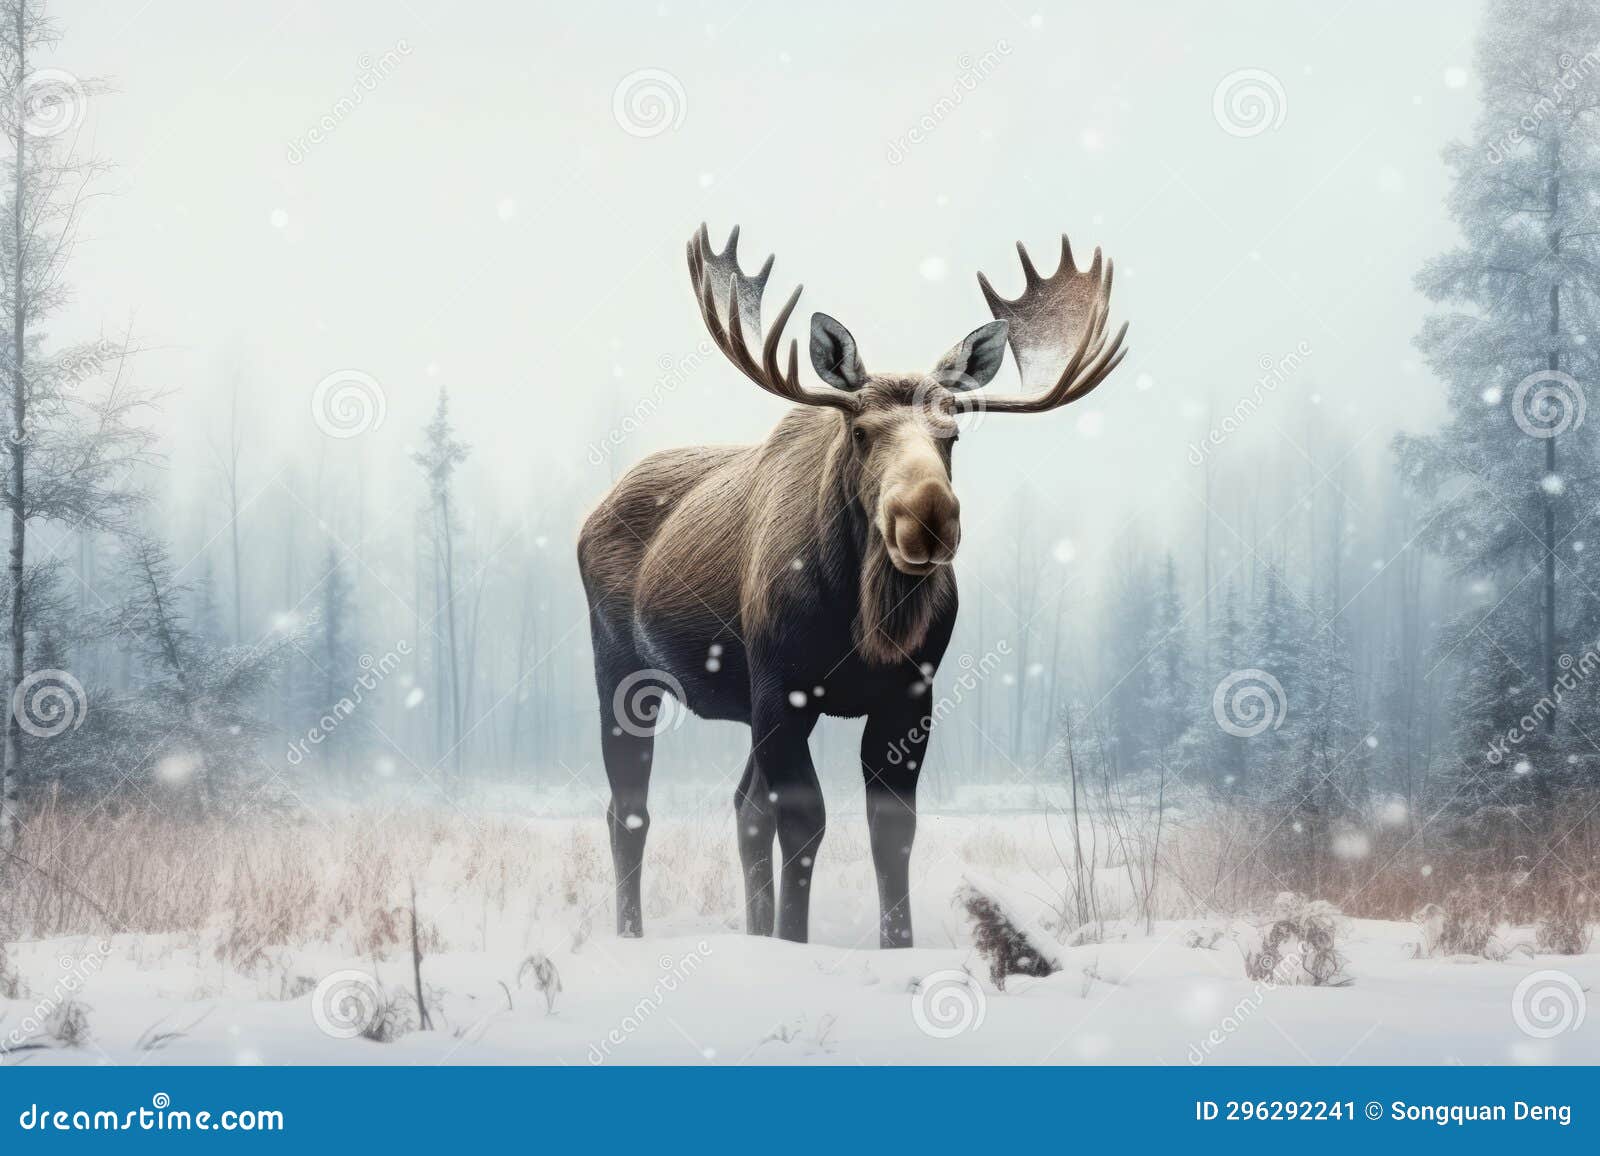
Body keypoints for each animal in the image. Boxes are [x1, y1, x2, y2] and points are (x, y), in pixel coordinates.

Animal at [577, 223, 1128, 948]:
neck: (863, 623)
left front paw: (893, 943)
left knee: (741, 806)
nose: (928, 516)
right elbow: (804, 822)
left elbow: (891, 831)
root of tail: (590, 517)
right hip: (622, 672)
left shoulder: (909, 696)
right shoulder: (782, 688)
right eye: (861, 431)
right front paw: (792, 939)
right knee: (630, 812)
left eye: (952, 434)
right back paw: (631, 934)